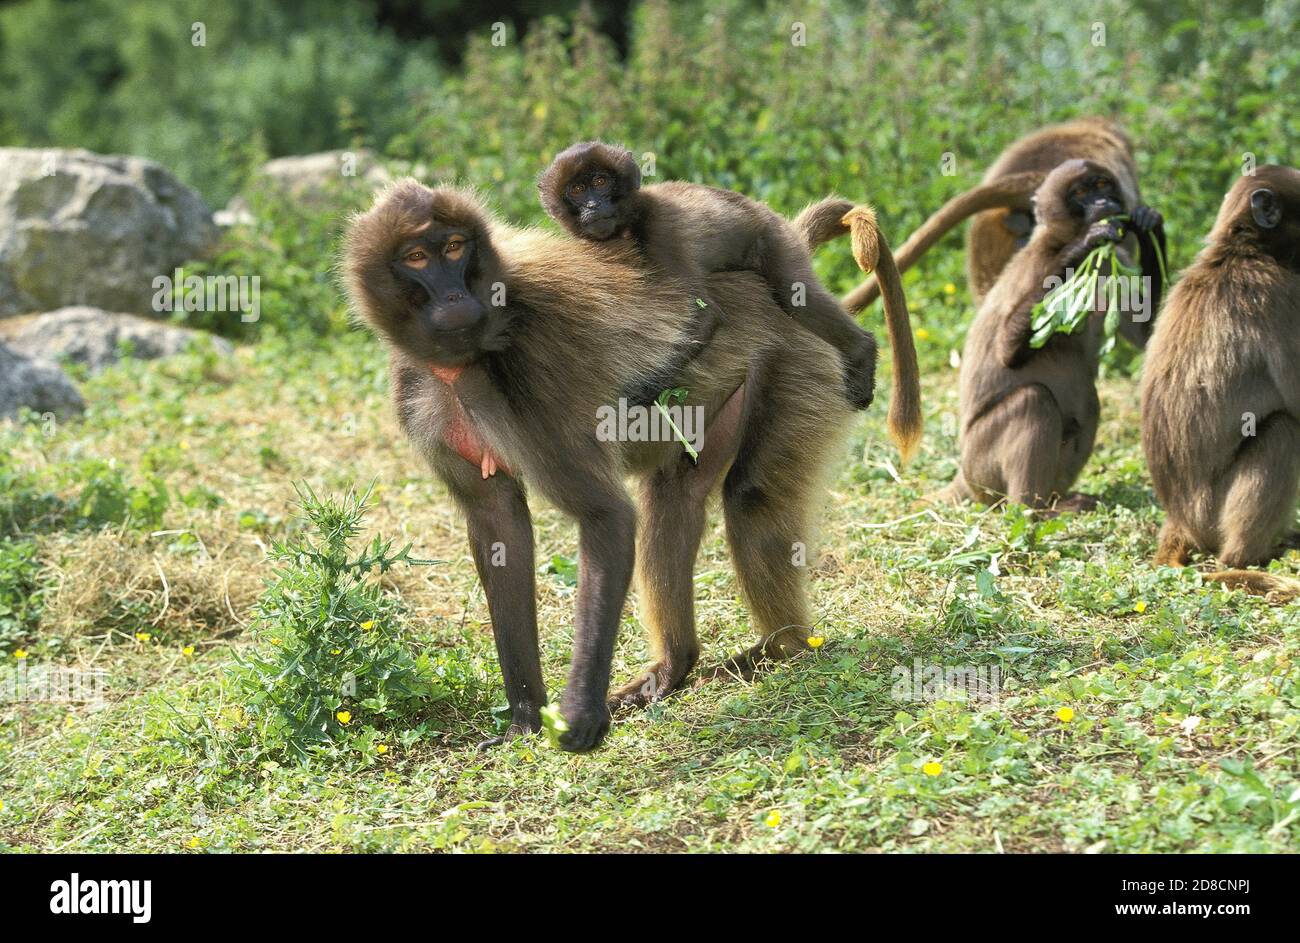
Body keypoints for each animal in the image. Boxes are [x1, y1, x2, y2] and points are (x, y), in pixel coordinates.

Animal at [344, 180, 921, 751]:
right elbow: (499, 523)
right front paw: (526, 717)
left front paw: (580, 715)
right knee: (675, 499)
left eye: (455, 248)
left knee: (750, 495)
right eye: (417, 257)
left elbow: (607, 518)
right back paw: (676, 666)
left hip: (800, 359)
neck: (464, 364)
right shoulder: (415, 388)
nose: (454, 297)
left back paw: (782, 650)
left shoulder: (535, 373)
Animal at [537, 141, 880, 409]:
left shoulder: (661, 229)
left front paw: (640, 391)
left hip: (774, 237)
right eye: (577, 190)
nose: (593, 205)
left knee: (793, 294)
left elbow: (705, 314)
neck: (629, 222)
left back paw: (863, 350)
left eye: (600, 182)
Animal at [936, 158, 1165, 512]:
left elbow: (1149, 337)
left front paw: (1147, 224)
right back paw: (1033, 510)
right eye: (1082, 193)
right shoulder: (1039, 267)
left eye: (1103, 185)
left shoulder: (1115, 261)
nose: (1104, 202)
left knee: (1088, 402)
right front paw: (1085, 243)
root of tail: (964, 475)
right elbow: (1006, 350)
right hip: (982, 465)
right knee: (1034, 399)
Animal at [1140, 165, 1300, 602]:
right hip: (1209, 514)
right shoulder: (1279, 294)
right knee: (1283, 431)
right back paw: (1245, 560)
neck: (1240, 252)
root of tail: (1179, 515)